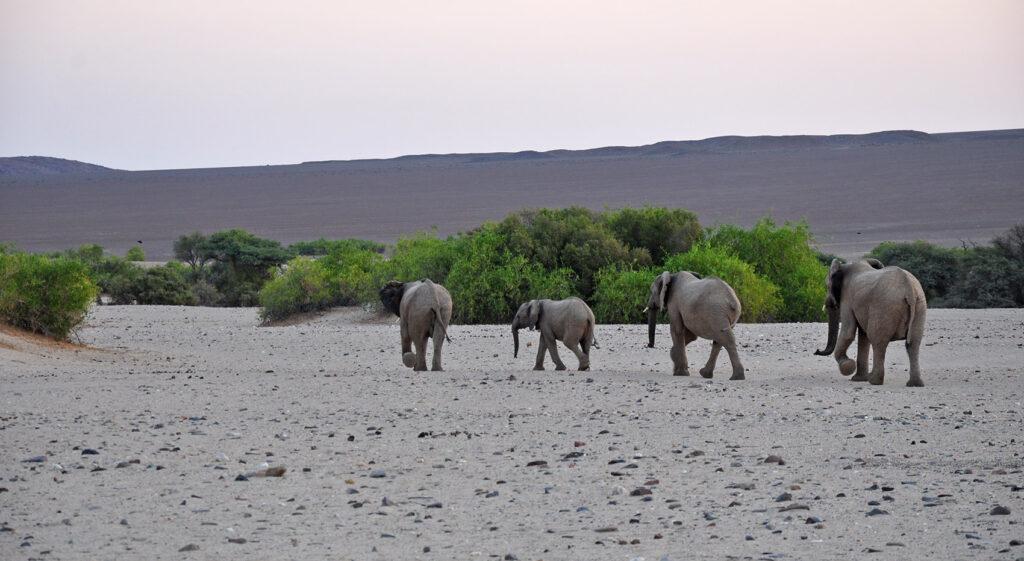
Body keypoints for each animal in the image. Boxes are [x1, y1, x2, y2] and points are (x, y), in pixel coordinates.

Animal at [814, 258, 927, 387]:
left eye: (827, 285)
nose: (816, 351)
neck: (844, 266)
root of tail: (909, 288)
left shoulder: (847, 298)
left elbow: (848, 332)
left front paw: (848, 366)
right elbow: (863, 337)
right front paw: (858, 379)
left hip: (884, 307)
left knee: (878, 342)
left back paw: (874, 380)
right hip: (920, 305)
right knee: (913, 344)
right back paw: (914, 384)